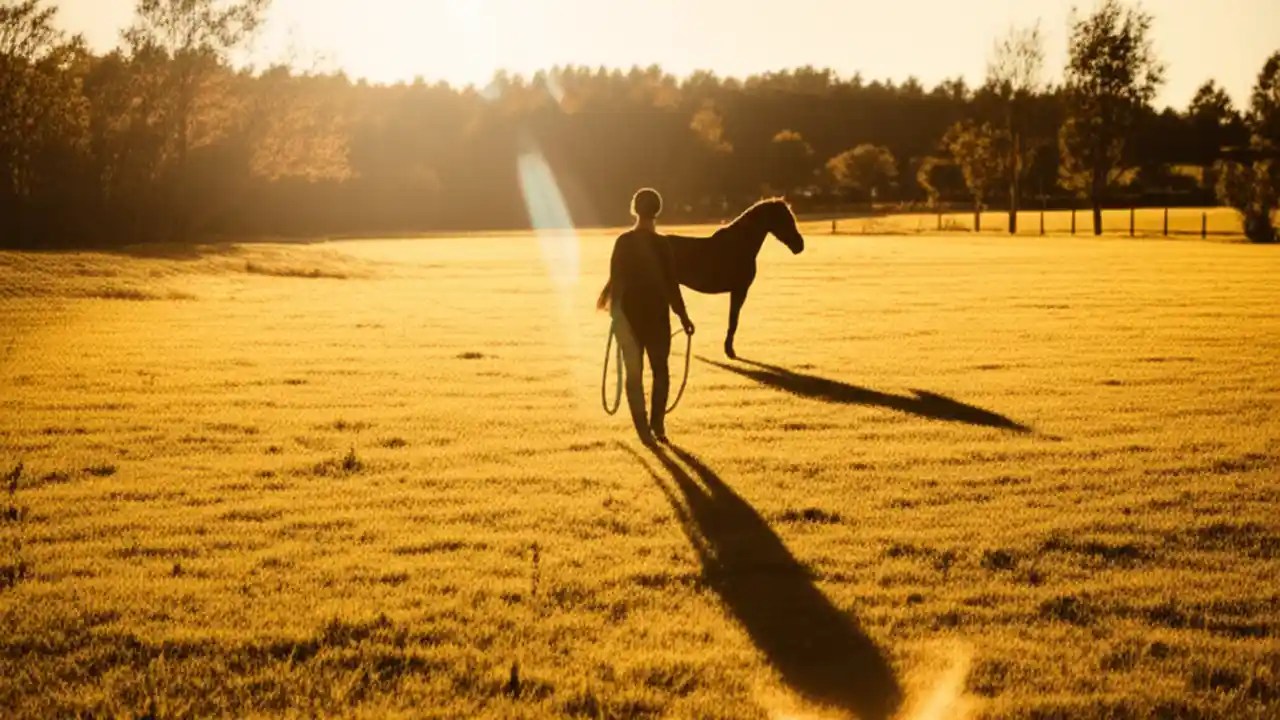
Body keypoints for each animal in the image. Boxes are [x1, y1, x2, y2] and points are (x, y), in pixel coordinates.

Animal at [598, 198, 806, 358]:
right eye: (785, 219)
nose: (799, 246)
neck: (739, 244)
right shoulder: (739, 290)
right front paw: (729, 351)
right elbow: (733, 320)